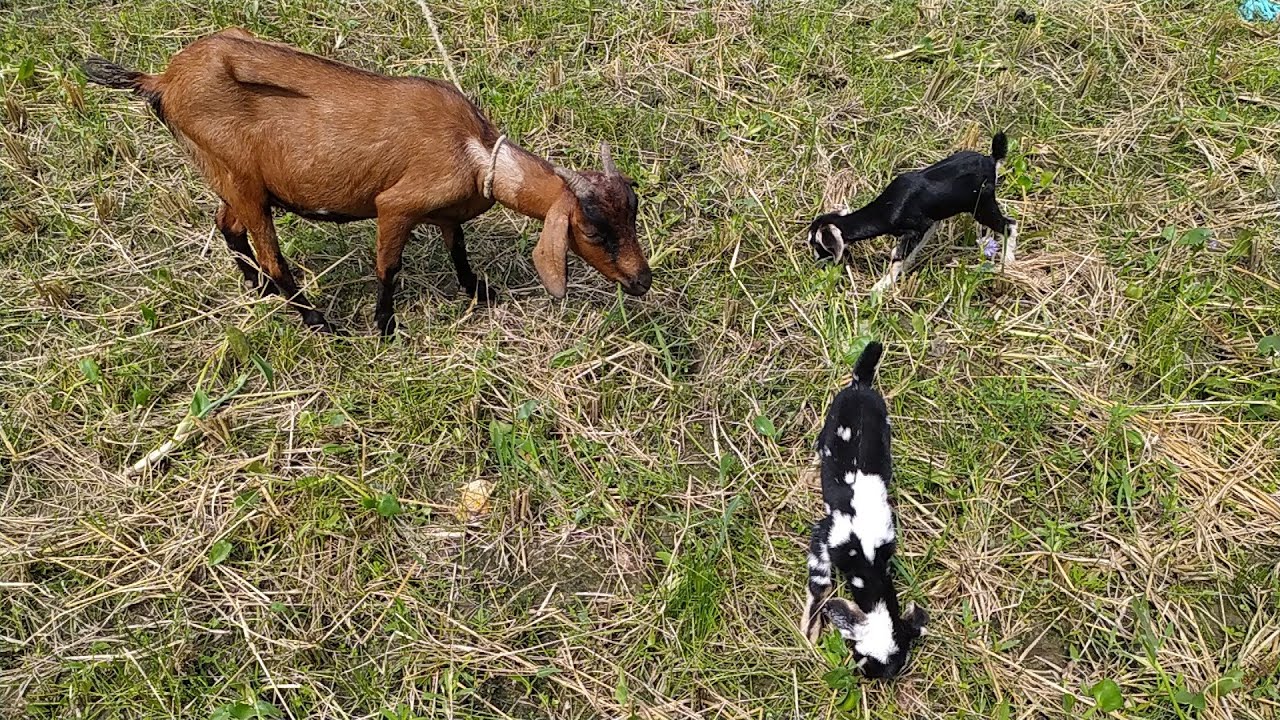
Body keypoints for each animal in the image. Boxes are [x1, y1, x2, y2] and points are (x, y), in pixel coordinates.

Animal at [83, 28, 651, 335]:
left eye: (634, 211)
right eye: (593, 231)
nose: (642, 280)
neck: (473, 152)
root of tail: (162, 80)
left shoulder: (445, 211)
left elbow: (458, 249)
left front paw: (478, 290)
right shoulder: (396, 205)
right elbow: (389, 266)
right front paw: (385, 325)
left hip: (230, 176)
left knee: (227, 225)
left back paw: (257, 287)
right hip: (241, 178)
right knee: (270, 251)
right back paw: (316, 320)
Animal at [800, 341, 927, 679]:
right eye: (860, 656)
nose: (862, 675)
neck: (868, 564)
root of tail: (861, 385)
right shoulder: (825, 535)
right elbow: (819, 582)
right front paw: (810, 627)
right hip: (829, 423)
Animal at [807, 132, 1016, 295]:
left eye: (816, 243)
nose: (816, 262)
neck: (887, 208)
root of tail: (991, 159)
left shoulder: (917, 226)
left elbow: (898, 256)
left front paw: (881, 286)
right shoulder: (930, 223)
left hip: (982, 206)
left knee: (1009, 225)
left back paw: (1008, 261)